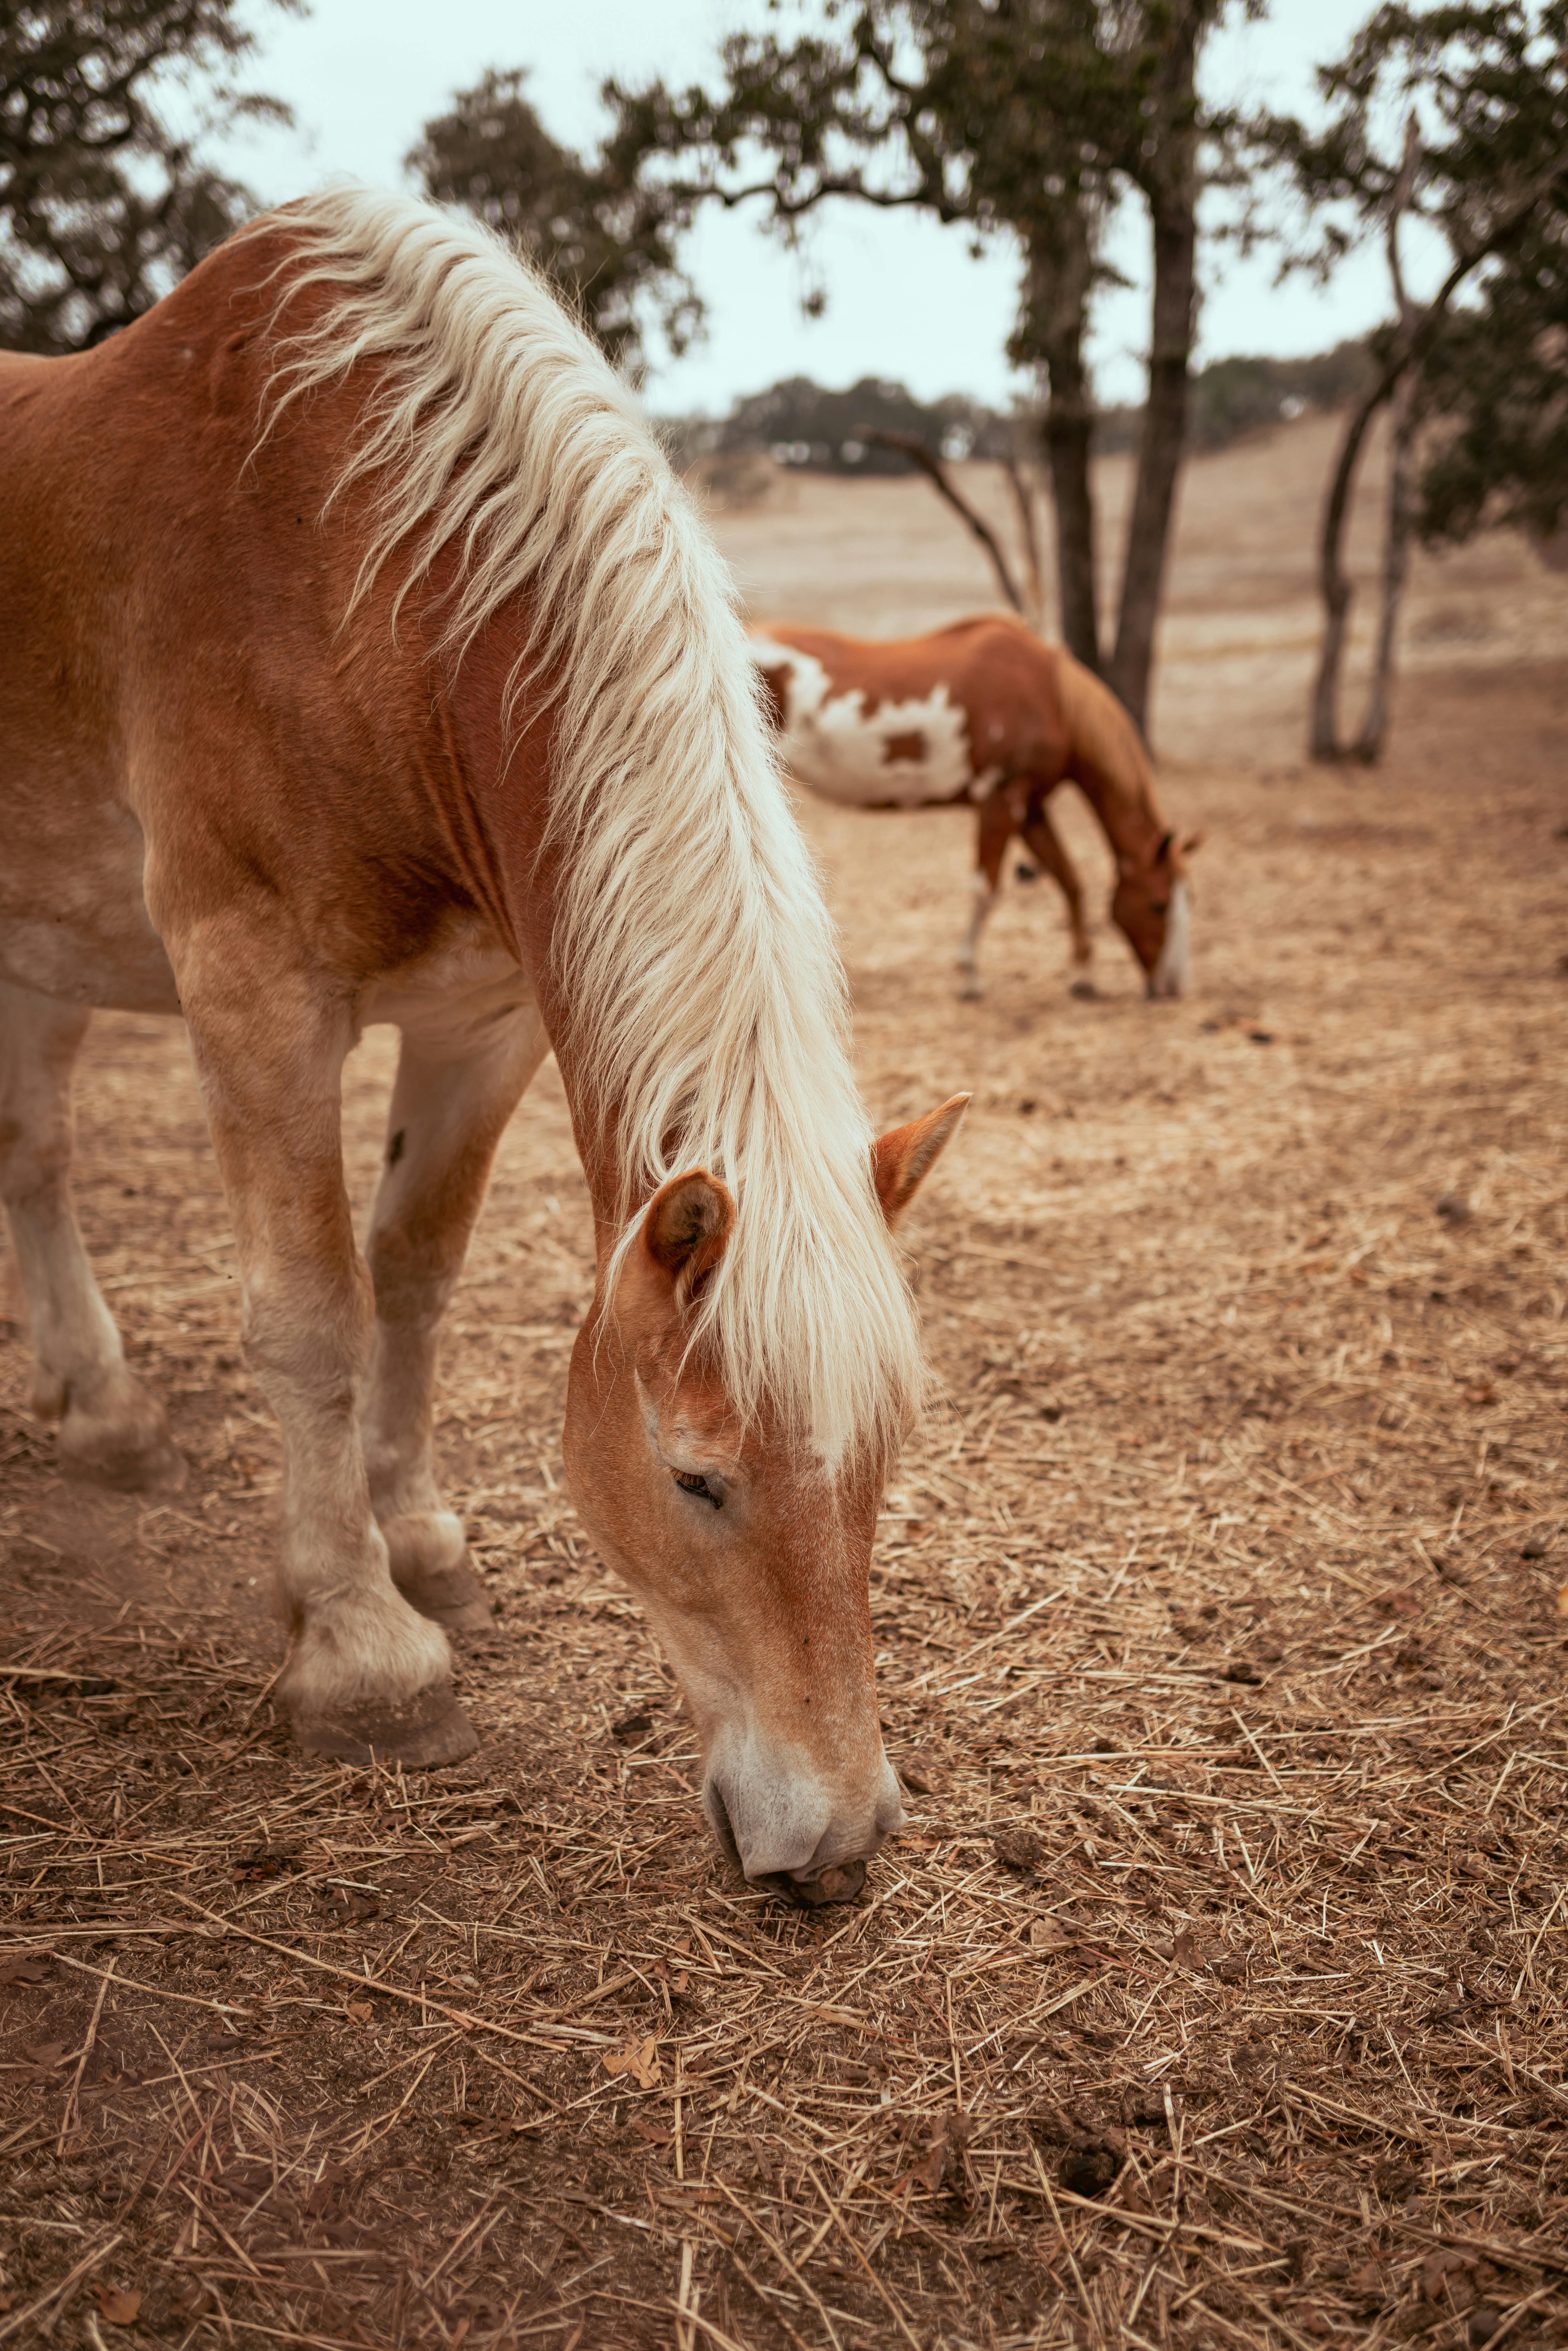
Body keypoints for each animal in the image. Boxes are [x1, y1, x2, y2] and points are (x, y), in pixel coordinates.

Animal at [0, 187, 970, 1906]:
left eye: (876, 1461)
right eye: (695, 1477)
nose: (839, 1842)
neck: (355, 580)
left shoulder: (480, 1024)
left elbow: (412, 1279)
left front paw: (418, 1545)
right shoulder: (253, 995)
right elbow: (310, 1313)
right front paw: (361, 1651)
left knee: (37, 1159)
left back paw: (102, 1413)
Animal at [748, 614, 1202, 998]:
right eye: (1159, 904)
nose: (1173, 987)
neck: (1050, 695)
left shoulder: (1031, 808)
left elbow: (1070, 881)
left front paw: (1083, 974)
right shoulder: (999, 801)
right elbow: (987, 890)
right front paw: (970, 976)